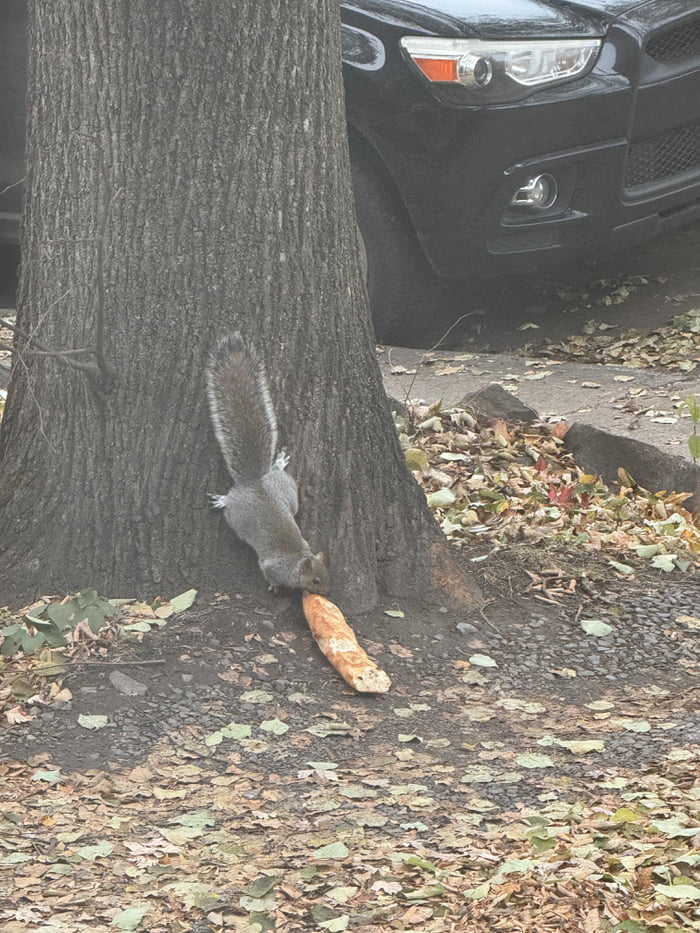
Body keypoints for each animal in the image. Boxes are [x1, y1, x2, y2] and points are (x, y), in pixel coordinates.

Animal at [205, 333, 330, 596]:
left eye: (327, 574)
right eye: (316, 580)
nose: (327, 593)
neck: (296, 559)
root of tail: (253, 482)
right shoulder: (271, 566)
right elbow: (269, 574)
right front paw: (274, 586)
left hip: (288, 494)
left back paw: (278, 465)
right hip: (237, 518)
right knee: (230, 508)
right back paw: (222, 500)